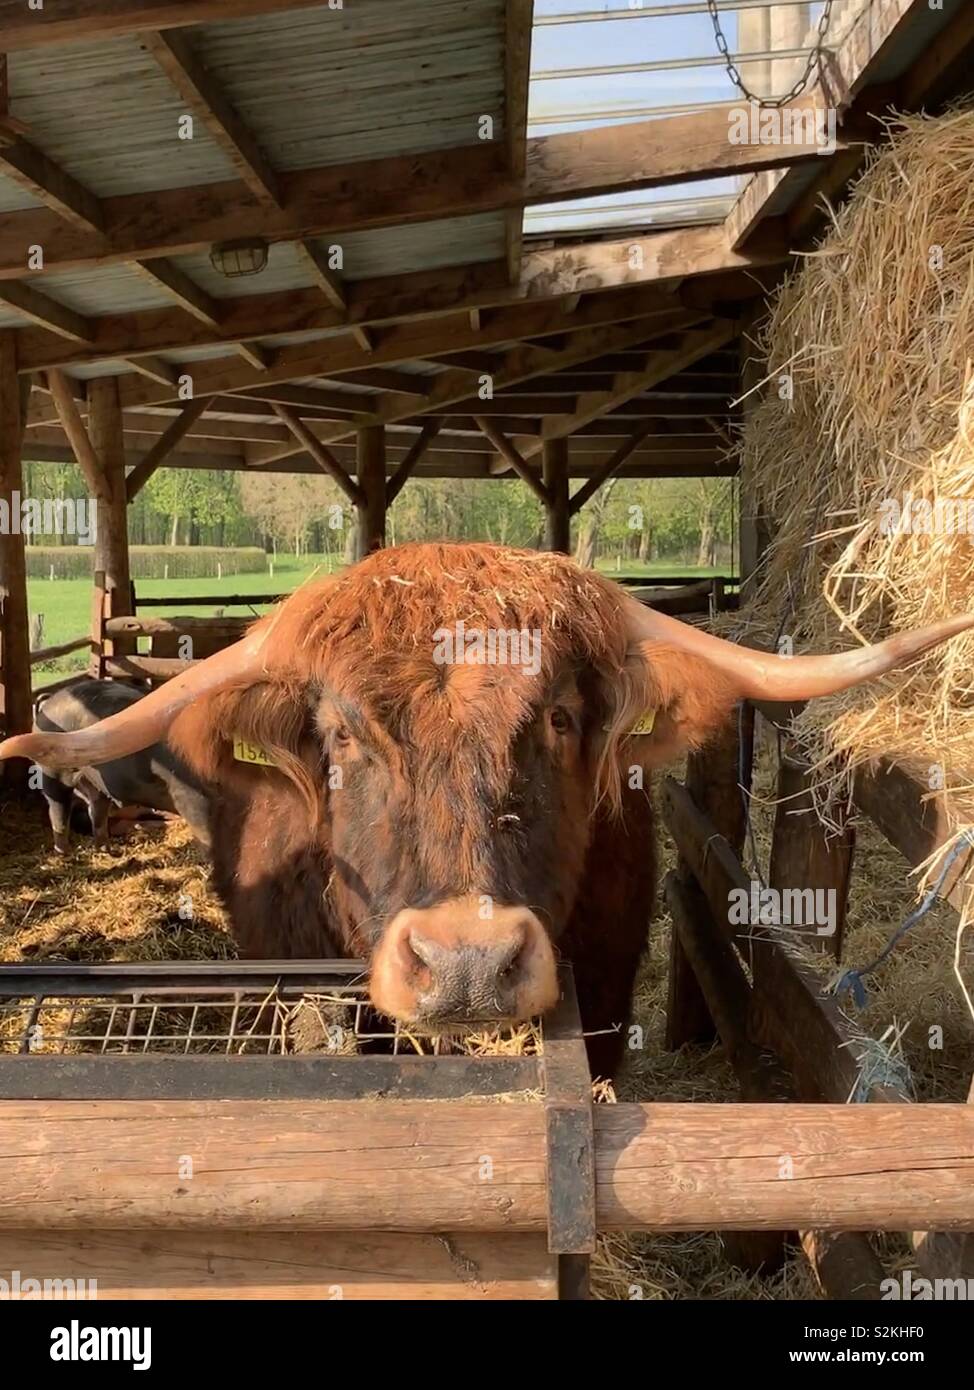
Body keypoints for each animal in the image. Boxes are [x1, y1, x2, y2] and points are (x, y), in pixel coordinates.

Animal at [30, 680, 211, 854]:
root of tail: (50, 701)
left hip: (94, 783)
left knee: (96, 810)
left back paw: (108, 850)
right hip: (52, 771)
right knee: (58, 810)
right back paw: (65, 854)